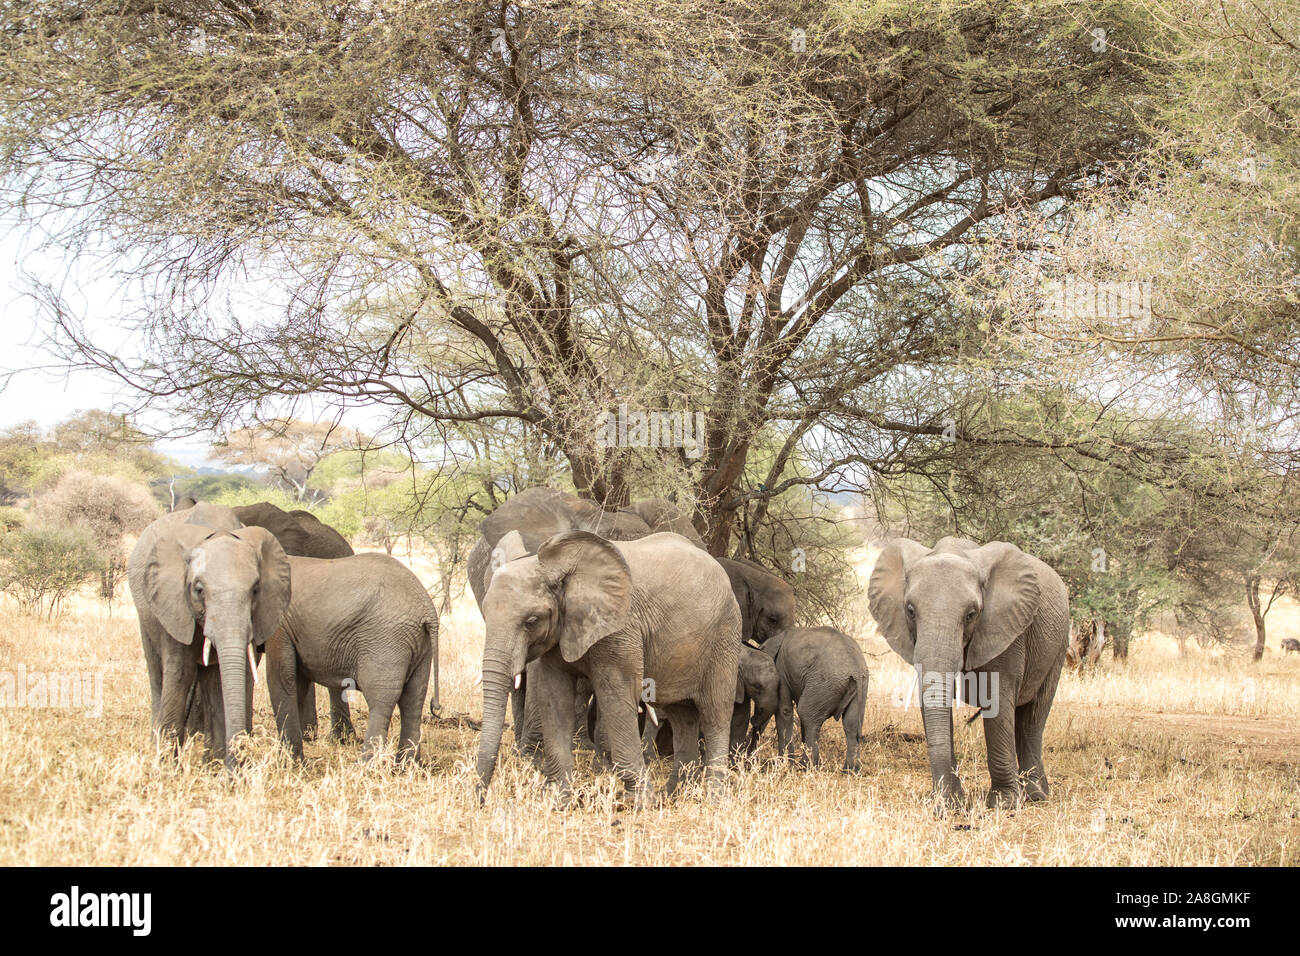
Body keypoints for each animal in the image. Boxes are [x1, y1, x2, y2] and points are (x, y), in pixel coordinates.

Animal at [128, 504, 291, 769]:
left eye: (256, 589)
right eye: (199, 589)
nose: (236, 769)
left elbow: (228, 678)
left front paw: (221, 768)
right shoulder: (173, 601)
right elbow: (180, 671)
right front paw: (167, 770)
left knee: (211, 682)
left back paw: (210, 762)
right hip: (147, 612)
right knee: (157, 672)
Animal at [262, 553, 437, 763]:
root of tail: (427, 608)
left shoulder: (280, 626)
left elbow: (281, 677)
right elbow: (297, 683)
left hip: (386, 640)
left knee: (382, 699)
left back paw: (367, 764)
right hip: (420, 645)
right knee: (414, 698)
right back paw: (407, 764)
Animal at [475, 529, 742, 806]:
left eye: (531, 620)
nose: (481, 798)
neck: (555, 567)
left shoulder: (621, 630)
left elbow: (617, 699)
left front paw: (640, 802)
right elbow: (554, 697)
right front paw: (558, 800)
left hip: (725, 636)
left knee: (715, 715)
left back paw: (714, 799)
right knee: (682, 717)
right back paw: (673, 795)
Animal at [762, 626, 869, 771]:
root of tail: (856, 669)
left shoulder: (781, 671)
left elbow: (784, 710)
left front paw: (785, 764)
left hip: (825, 683)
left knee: (807, 714)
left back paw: (806, 765)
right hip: (860, 686)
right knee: (851, 724)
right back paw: (851, 770)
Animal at [868, 536, 1069, 809]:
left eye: (971, 614)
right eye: (910, 610)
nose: (941, 806)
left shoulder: (1005, 628)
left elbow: (997, 702)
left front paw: (1003, 804)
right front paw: (951, 801)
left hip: (1059, 644)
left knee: (1033, 718)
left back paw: (1035, 796)